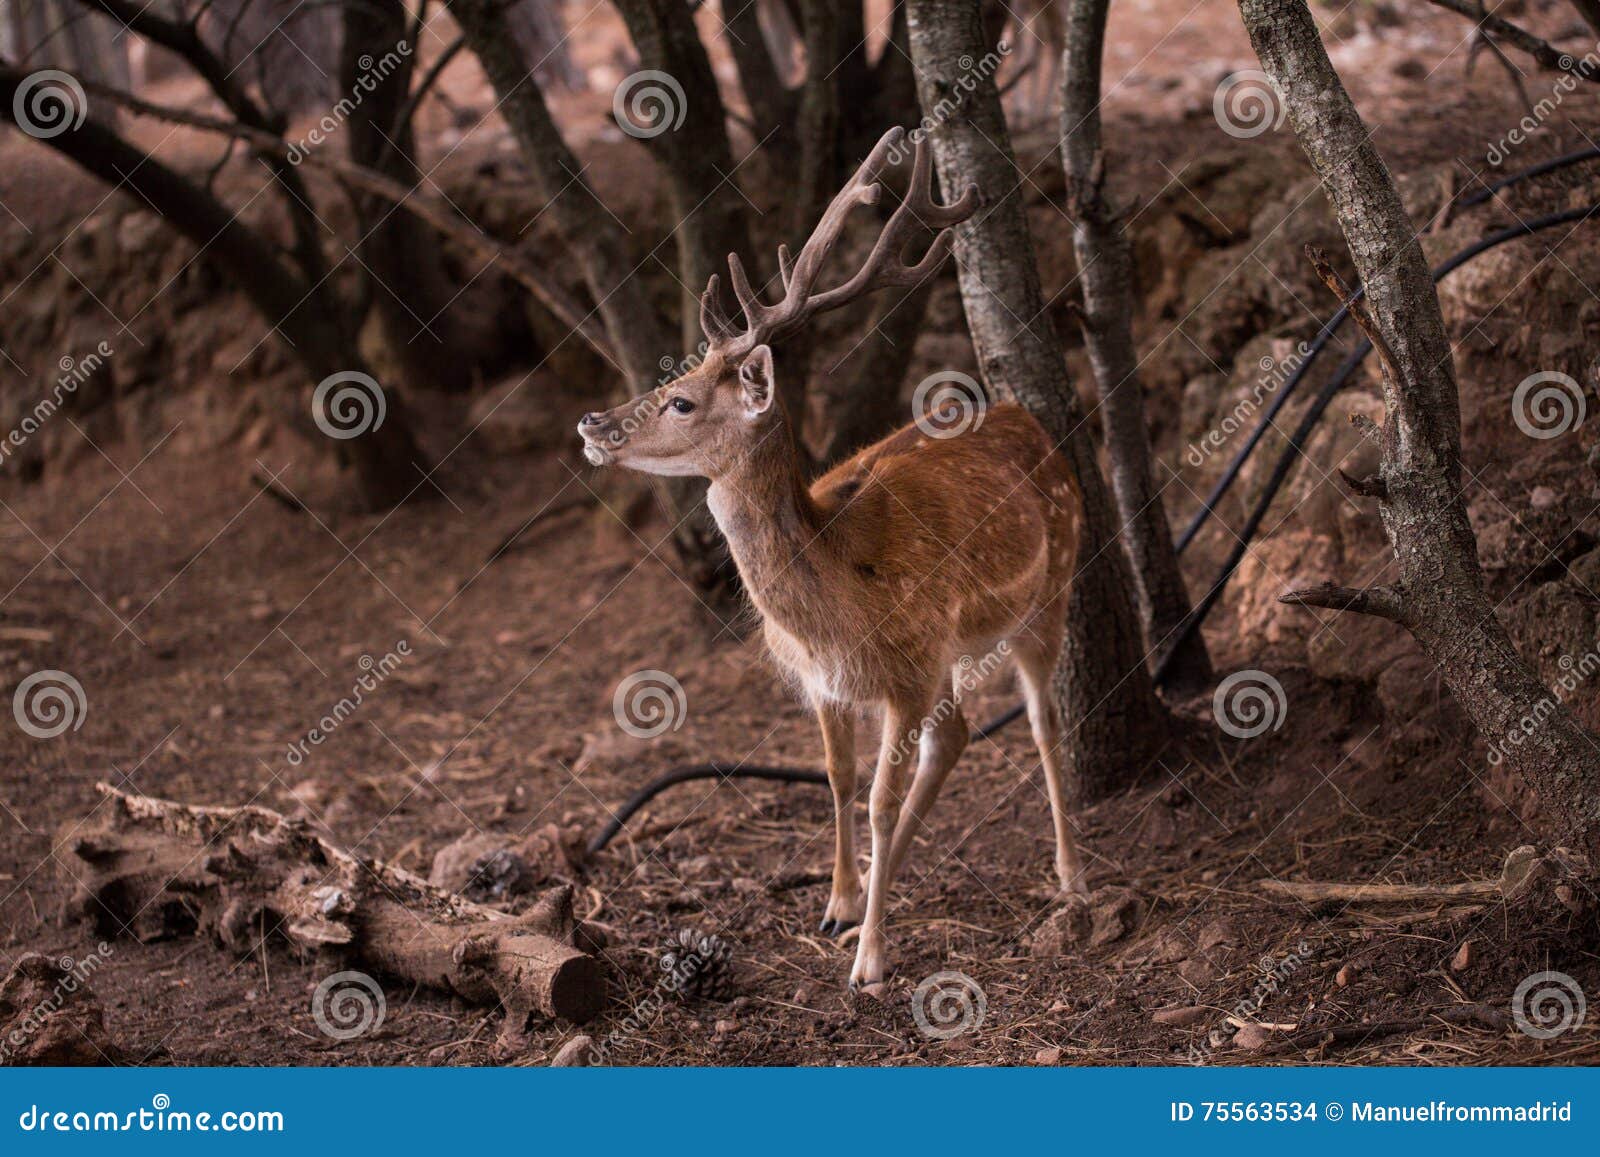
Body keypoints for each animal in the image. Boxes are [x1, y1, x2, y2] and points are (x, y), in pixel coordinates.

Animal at [577, 127, 1087, 992]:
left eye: (682, 400)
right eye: (677, 373)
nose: (591, 422)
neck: (836, 602)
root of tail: (1035, 425)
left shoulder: (906, 675)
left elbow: (878, 796)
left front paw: (871, 957)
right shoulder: (826, 679)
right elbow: (838, 777)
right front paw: (840, 904)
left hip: (1046, 597)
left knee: (1045, 724)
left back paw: (1071, 874)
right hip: (955, 651)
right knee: (957, 737)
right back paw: (890, 879)